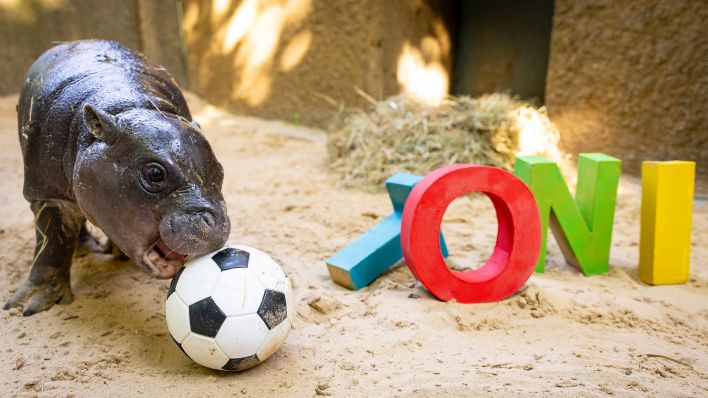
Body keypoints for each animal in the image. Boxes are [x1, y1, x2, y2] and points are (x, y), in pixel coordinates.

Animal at [6, 38, 232, 316]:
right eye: (155, 174)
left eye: (220, 171)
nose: (217, 224)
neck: (128, 107)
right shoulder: (47, 194)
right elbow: (51, 244)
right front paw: (30, 305)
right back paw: (85, 250)